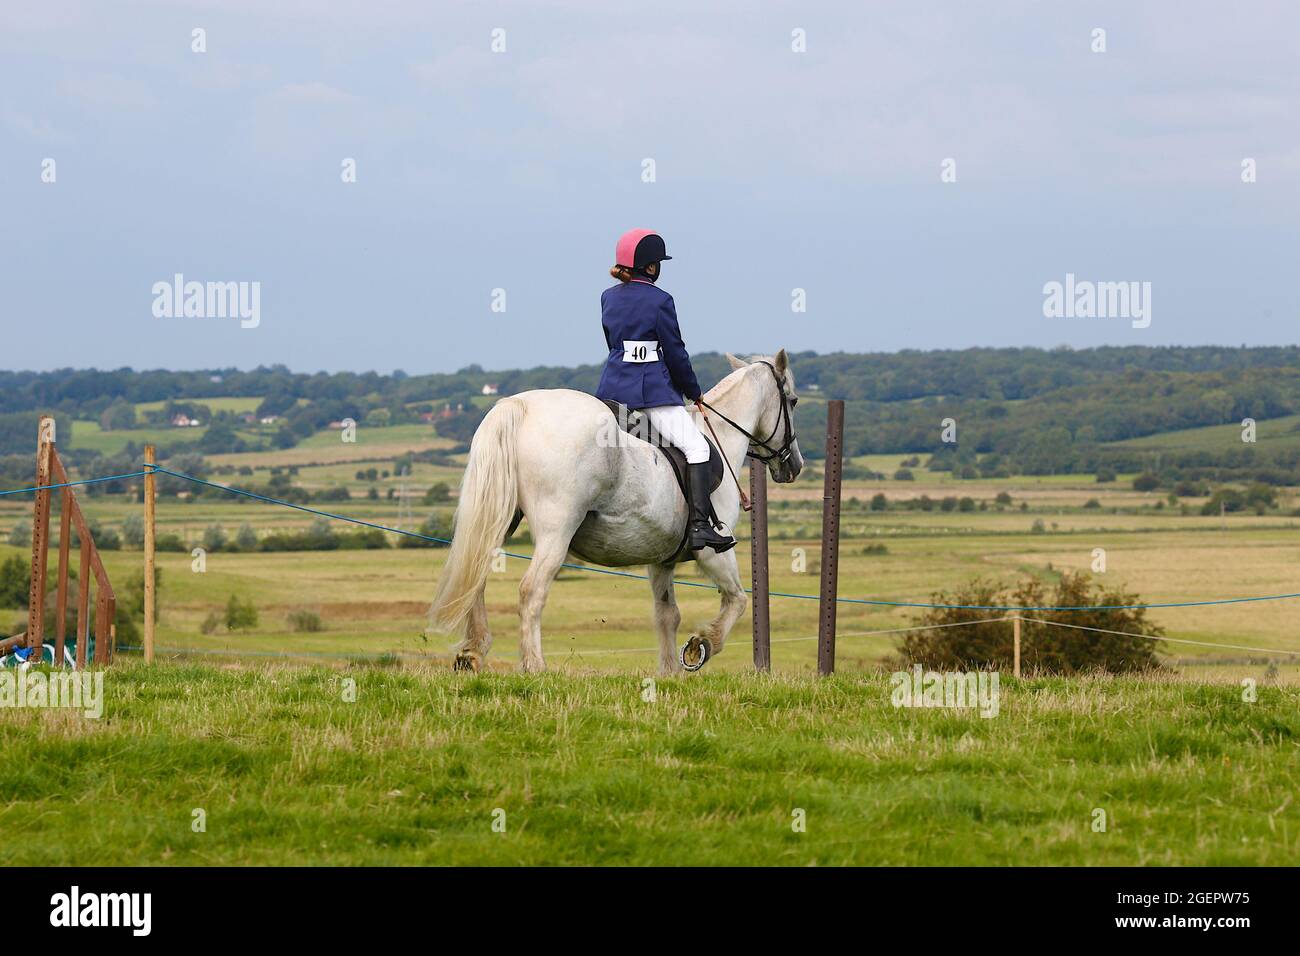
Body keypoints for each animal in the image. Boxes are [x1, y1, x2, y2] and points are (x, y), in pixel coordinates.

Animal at [428, 350, 803, 673]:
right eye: (794, 401)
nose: (794, 466)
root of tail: (521, 406)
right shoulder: (714, 551)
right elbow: (738, 600)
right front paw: (702, 645)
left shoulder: (661, 560)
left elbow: (667, 614)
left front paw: (669, 673)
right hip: (557, 530)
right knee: (532, 590)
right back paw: (535, 666)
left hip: (500, 520)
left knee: (477, 577)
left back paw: (473, 651)